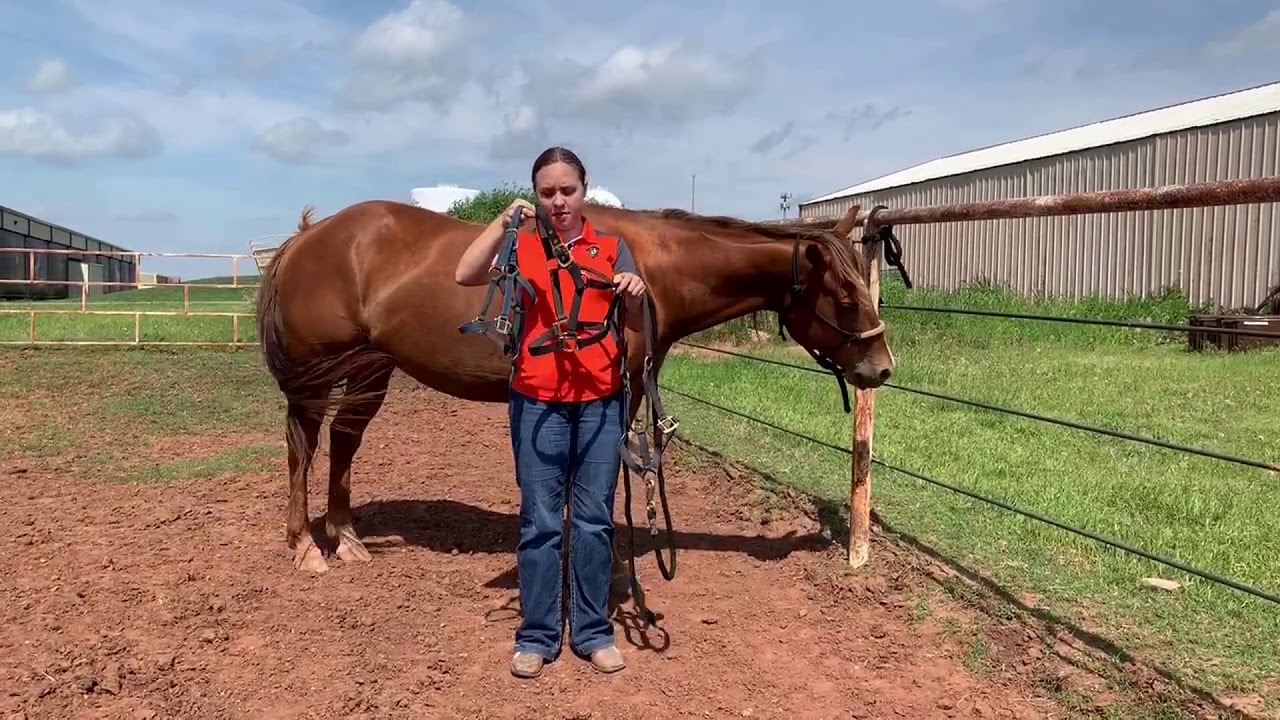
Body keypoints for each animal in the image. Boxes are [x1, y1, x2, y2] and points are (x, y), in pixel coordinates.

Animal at [253, 199, 894, 578]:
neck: (649, 271)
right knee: (303, 446)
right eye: (844, 296)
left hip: (369, 370)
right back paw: (306, 546)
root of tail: (305, 237)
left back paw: (345, 538)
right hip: (322, 372)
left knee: (343, 442)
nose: (882, 368)